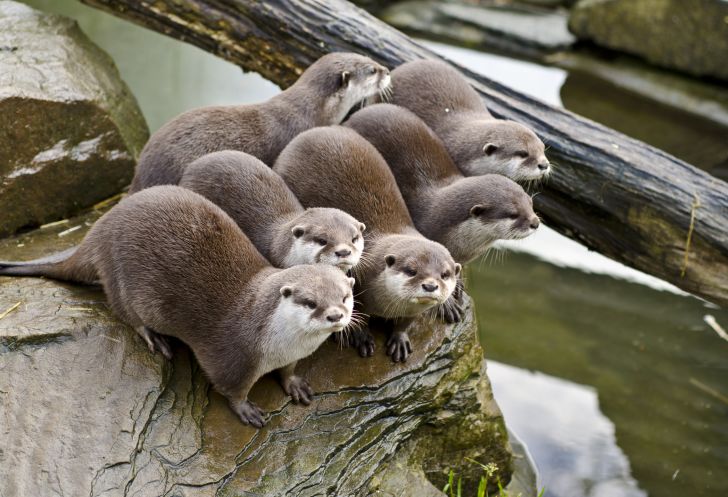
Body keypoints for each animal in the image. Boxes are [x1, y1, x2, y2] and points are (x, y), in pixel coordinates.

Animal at [0, 186, 354, 427]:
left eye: (344, 297)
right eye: (311, 302)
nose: (335, 315)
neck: (278, 340)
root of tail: (99, 228)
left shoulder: (290, 355)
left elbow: (289, 371)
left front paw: (294, 383)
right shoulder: (232, 357)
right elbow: (230, 388)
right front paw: (246, 409)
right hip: (121, 275)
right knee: (124, 311)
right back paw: (155, 339)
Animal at [274, 126, 461, 362]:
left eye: (444, 275)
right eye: (411, 270)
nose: (430, 285)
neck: (389, 306)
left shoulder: (414, 312)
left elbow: (406, 324)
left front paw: (399, 339)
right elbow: (357, 313)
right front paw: (360, 337)